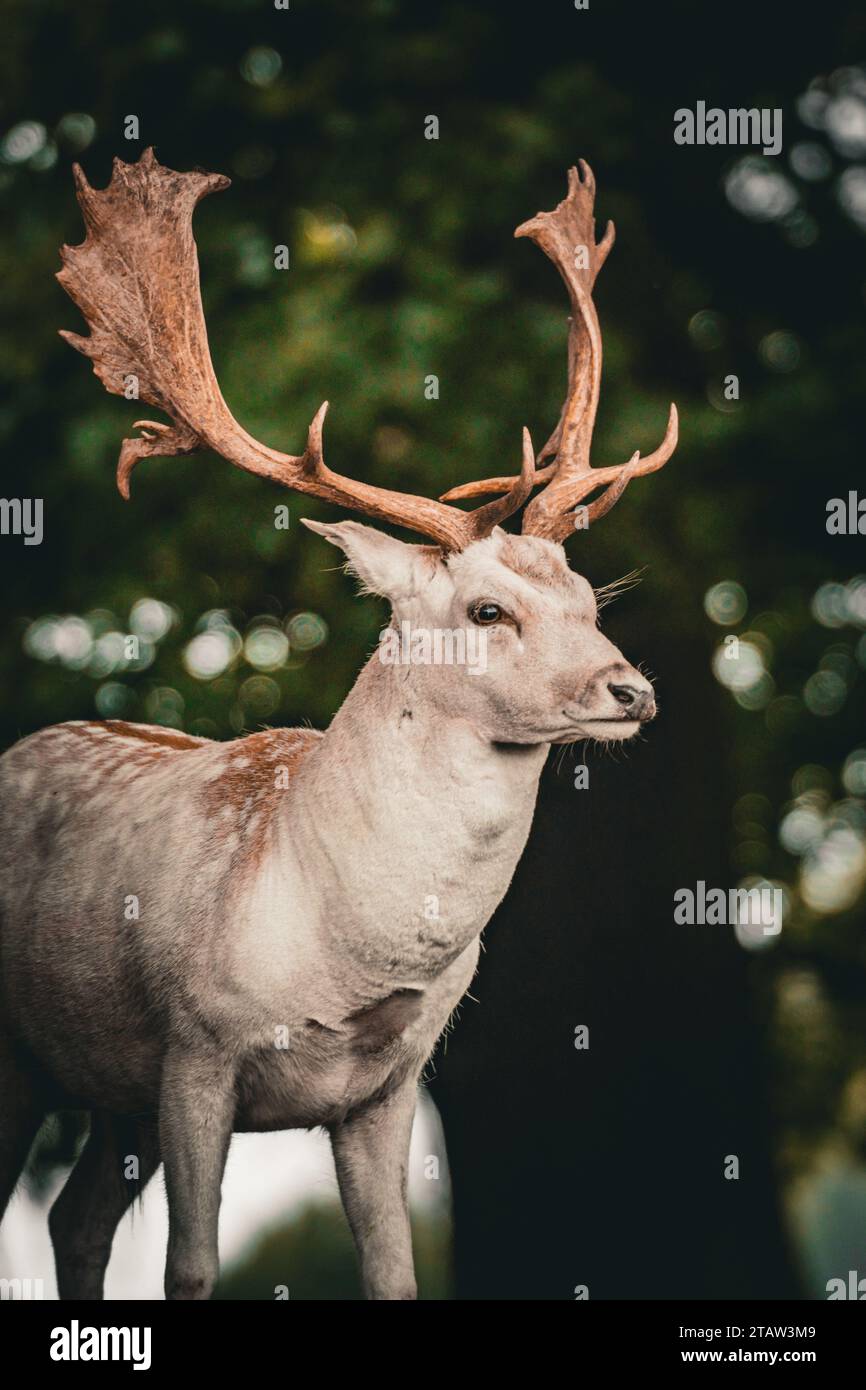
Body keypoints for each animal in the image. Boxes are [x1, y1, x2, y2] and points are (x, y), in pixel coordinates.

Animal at [0, 151, 677, 1300]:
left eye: (590, 595)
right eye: (486, 611)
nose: (629, 690)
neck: (344, 957)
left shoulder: (388, 1084)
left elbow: (394, 1272)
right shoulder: (196, 1043)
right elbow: (191, 1266)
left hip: (104, 1088)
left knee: (75, 1219)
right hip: (28, 1061)